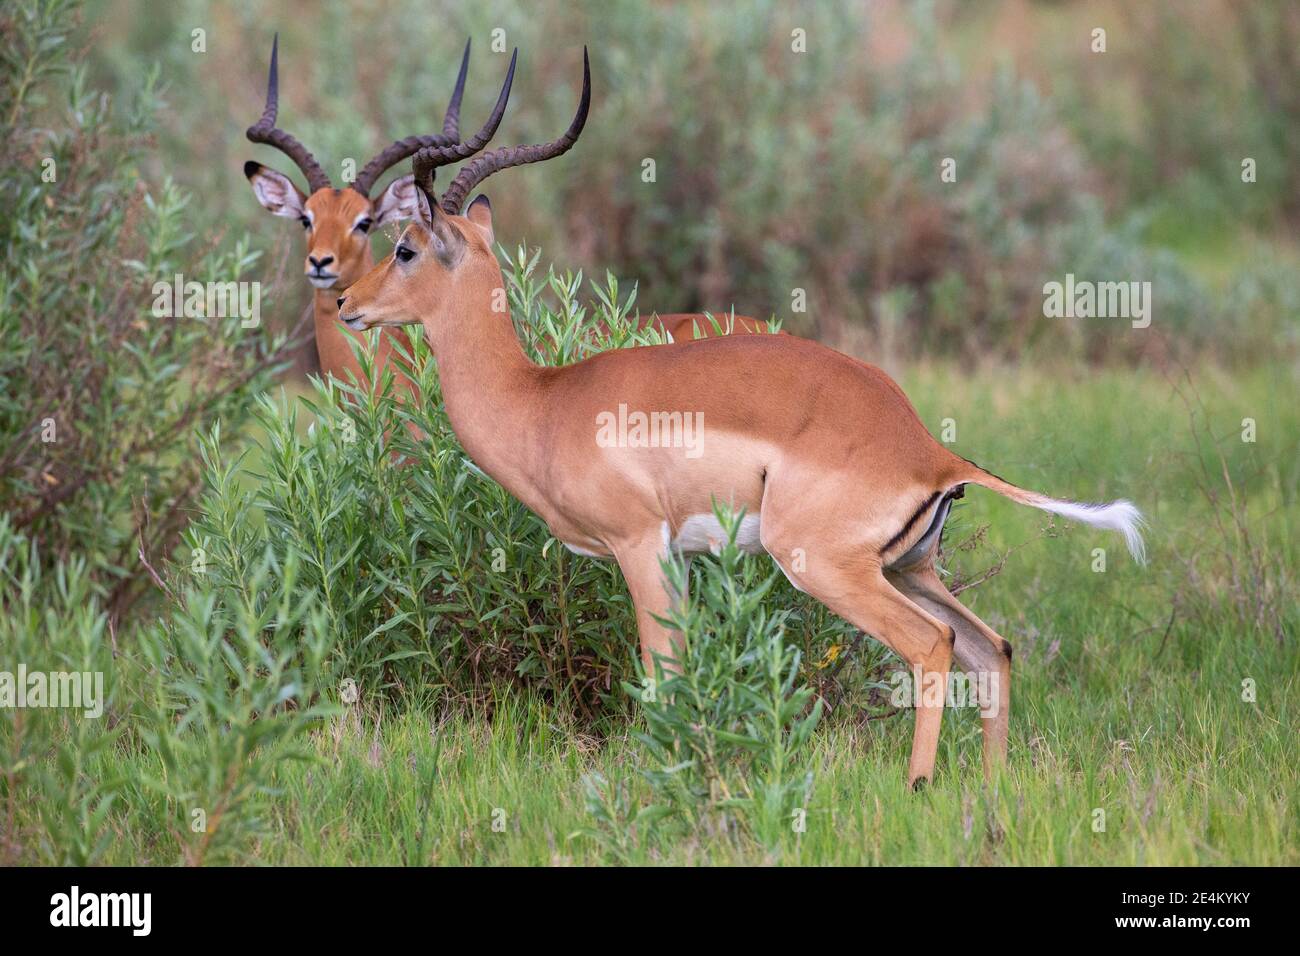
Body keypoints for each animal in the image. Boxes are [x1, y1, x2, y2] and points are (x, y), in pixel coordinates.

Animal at [337, 50, 1146, 788]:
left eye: (404, 247)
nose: (345, 301)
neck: (543, 401)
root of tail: (926, 450)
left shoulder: (639, 545)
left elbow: (662, 670)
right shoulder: (679, 558)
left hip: (827, 566)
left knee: (933, 644)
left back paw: (916, 785)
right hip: (910, 566)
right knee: (992, 648)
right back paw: (992, 790)